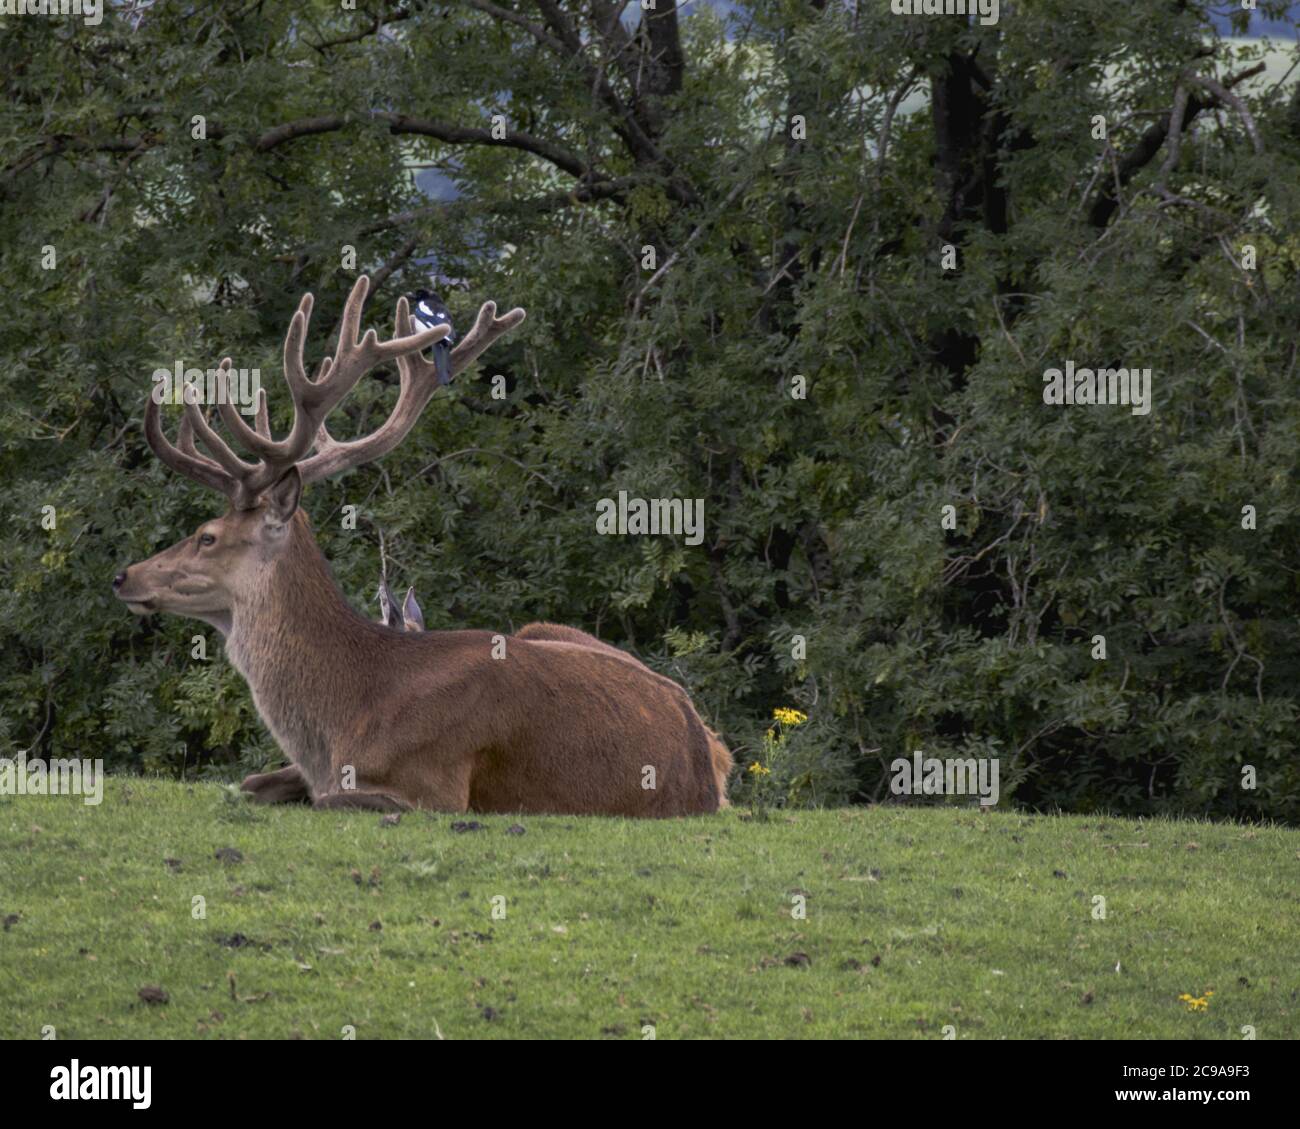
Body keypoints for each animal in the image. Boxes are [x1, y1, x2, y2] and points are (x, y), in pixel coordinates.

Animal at [113, 275, 729, 816]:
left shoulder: (434, 786)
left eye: (208, 536)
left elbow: (326, 798)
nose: (124, 575)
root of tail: (705, 752)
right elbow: (247, 782)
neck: (349, 714)